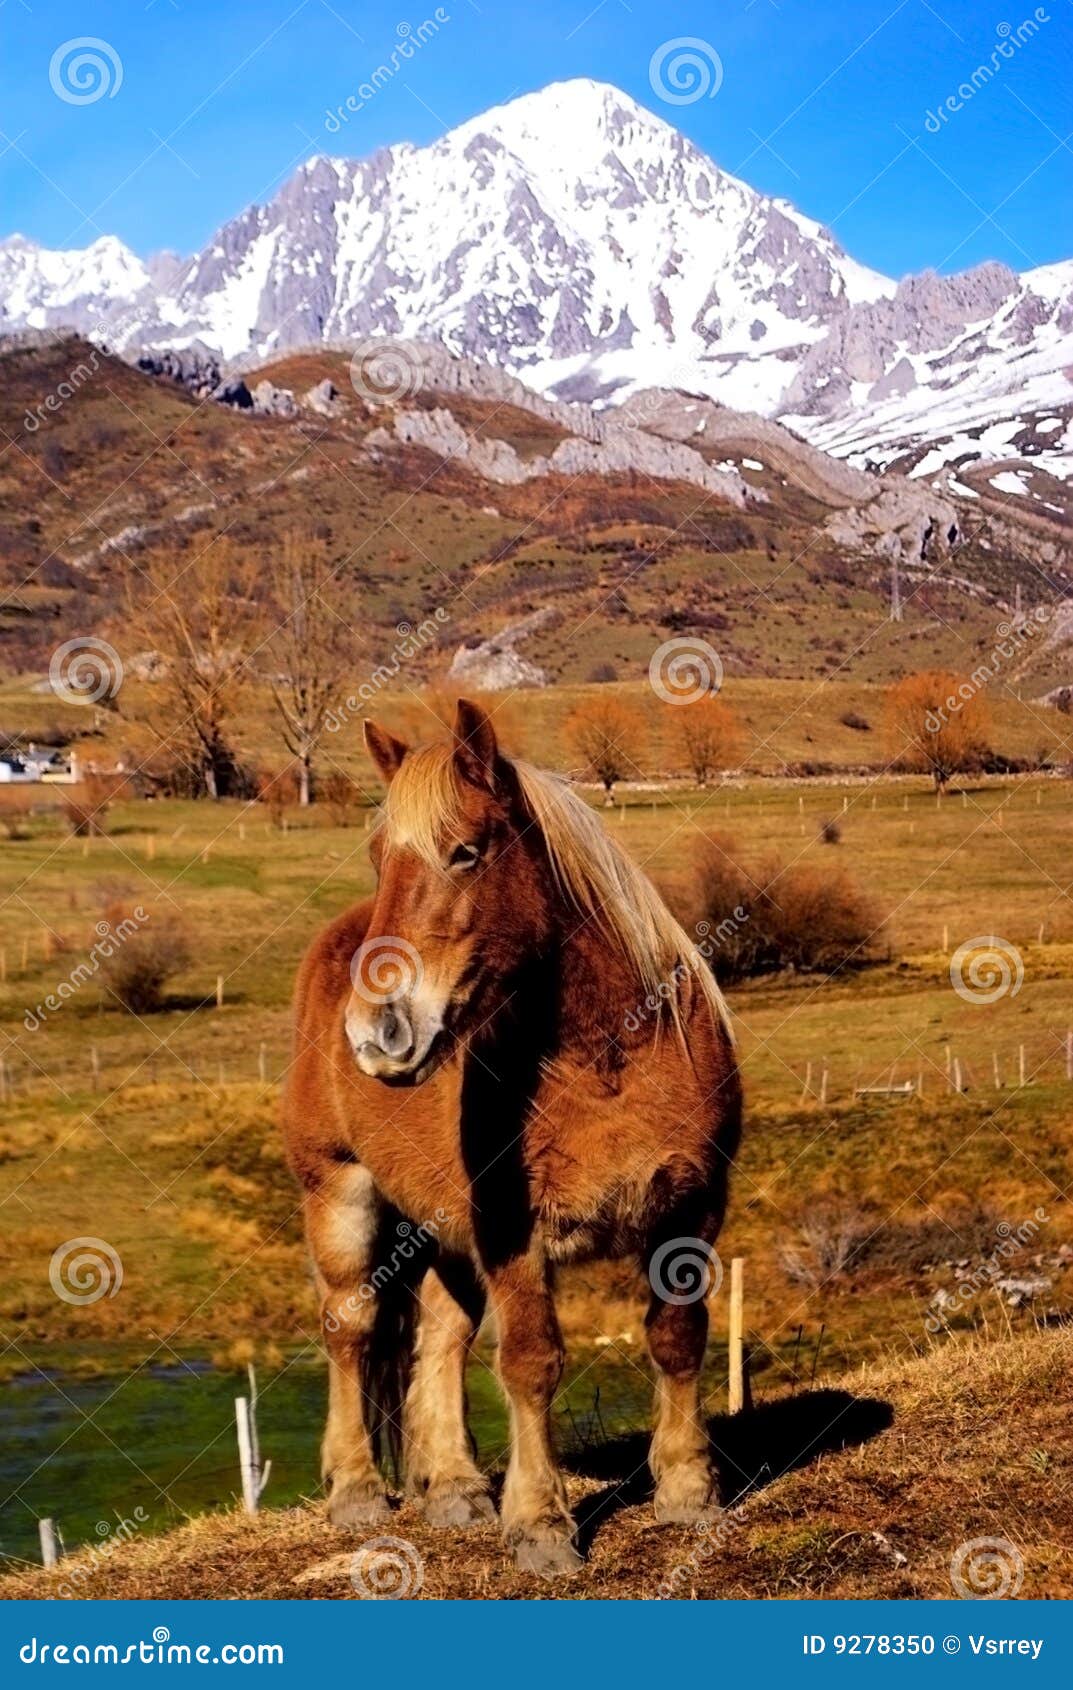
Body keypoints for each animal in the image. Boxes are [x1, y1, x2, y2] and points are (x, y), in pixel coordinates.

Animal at [282, 698, 741, 1576]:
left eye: (465, 852)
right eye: (378, 860)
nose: (375, 1034)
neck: (610, 1060)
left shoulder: (690, 1213)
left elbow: (676, 1339)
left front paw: (686, 1491)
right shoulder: (514, 1236)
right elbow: (531, 1362)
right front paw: (539, 1524)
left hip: (440, 1233)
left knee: (439, 1338)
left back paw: (455, 1489)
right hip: (339, 1195)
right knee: (351, 1329)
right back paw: (357, 1490)